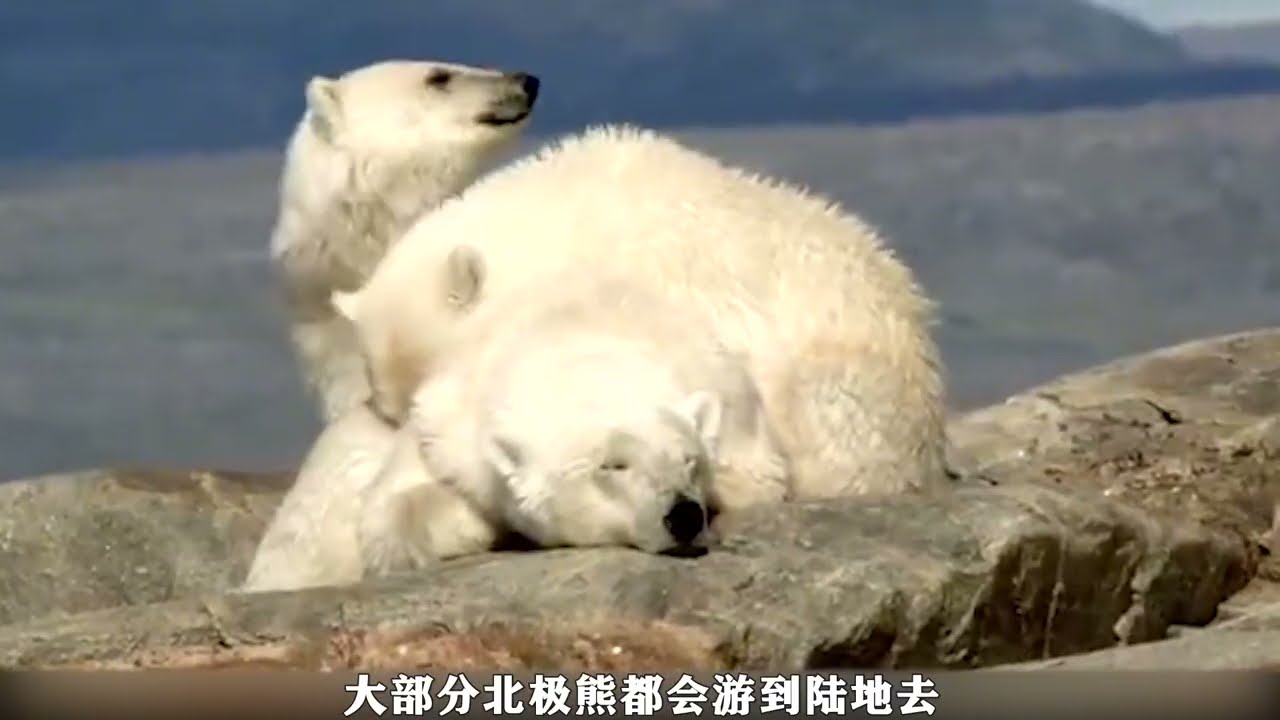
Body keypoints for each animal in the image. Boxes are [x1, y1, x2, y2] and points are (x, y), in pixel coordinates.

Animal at [340, 246, 793, 553]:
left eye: (690, 460)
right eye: (613, 465)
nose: (683, 515)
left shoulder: (728, 396)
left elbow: (755, 479)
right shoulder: (445, 426)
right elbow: (395, 511)